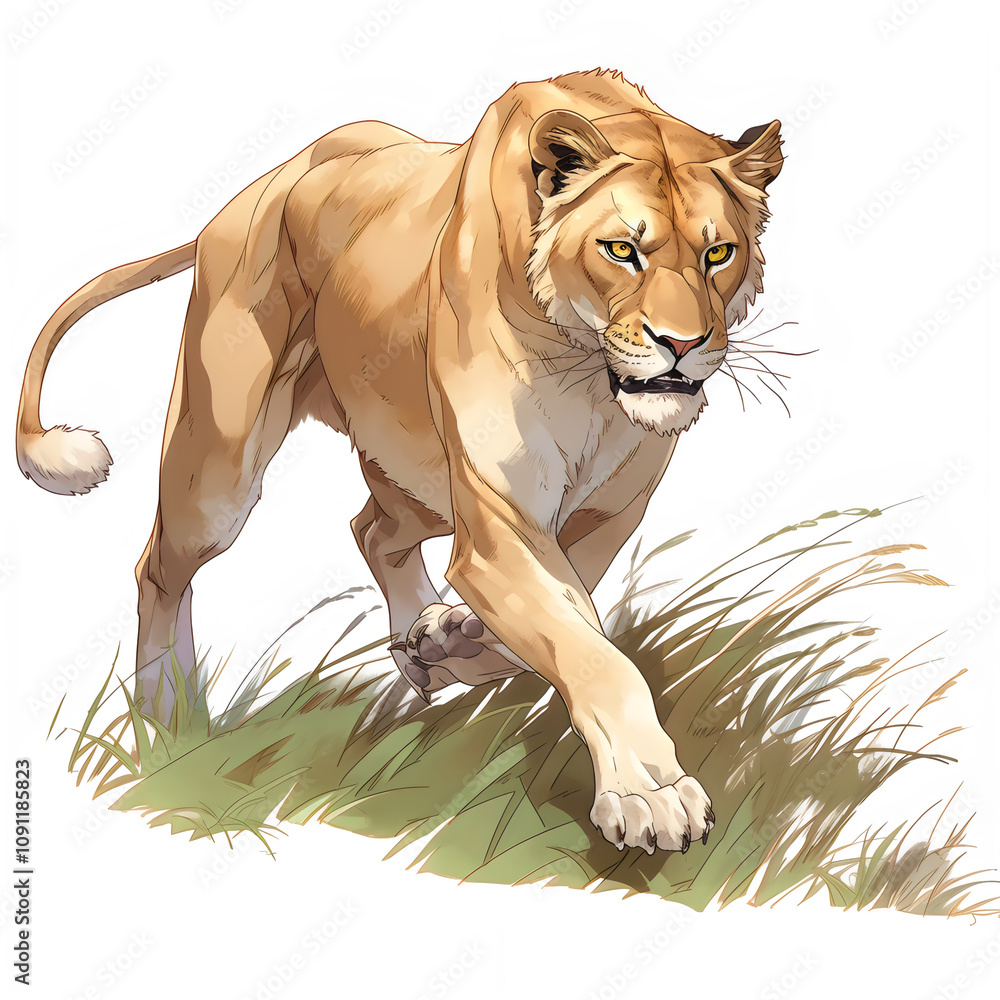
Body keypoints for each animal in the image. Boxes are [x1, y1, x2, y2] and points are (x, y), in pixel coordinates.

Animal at [16, 69, 783, 854]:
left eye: (717, 255)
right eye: (622, 250)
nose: (682, 345)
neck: (590, 375)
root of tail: (246, 198)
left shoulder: (606, 515)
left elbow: (565, 620)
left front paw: (444, 642)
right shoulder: (497, 526)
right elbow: (595, 652)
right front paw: (650, 793)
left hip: (413, 479)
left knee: (371, 530)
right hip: (219, 479)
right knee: (159, 567)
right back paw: (165, 718)